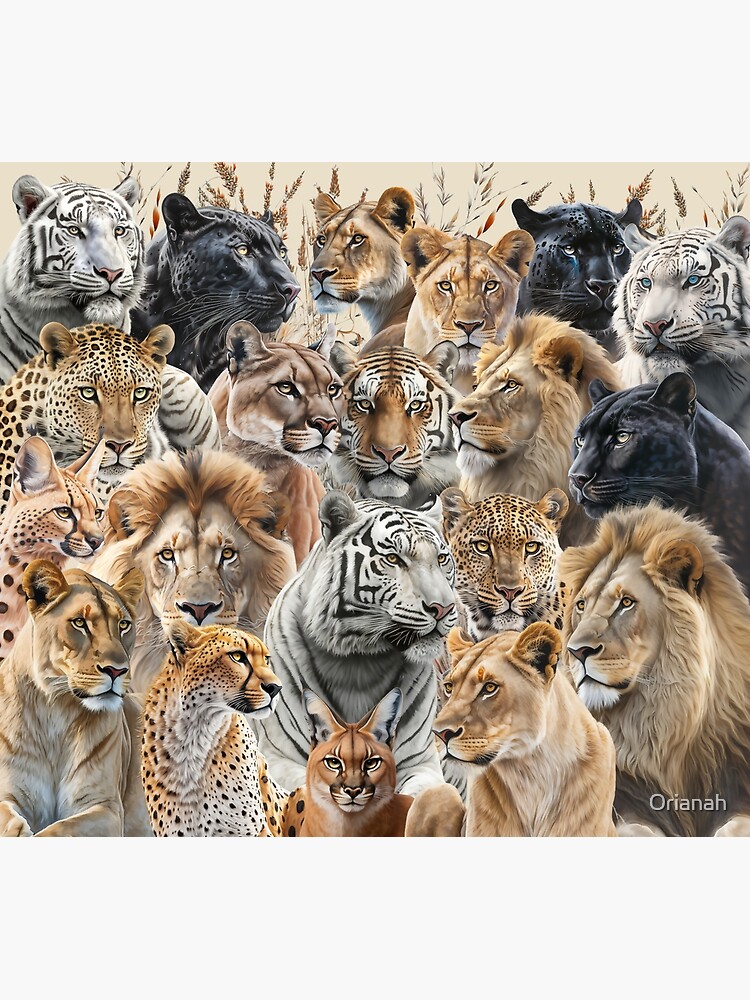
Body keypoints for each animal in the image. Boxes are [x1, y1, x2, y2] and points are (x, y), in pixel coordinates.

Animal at [0, 559, 151, 837]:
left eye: (123, 625)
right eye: (80, 623)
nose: (117, 670)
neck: (55, 709)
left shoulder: (107, 808)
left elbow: (59, 830)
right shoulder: (8, 792)